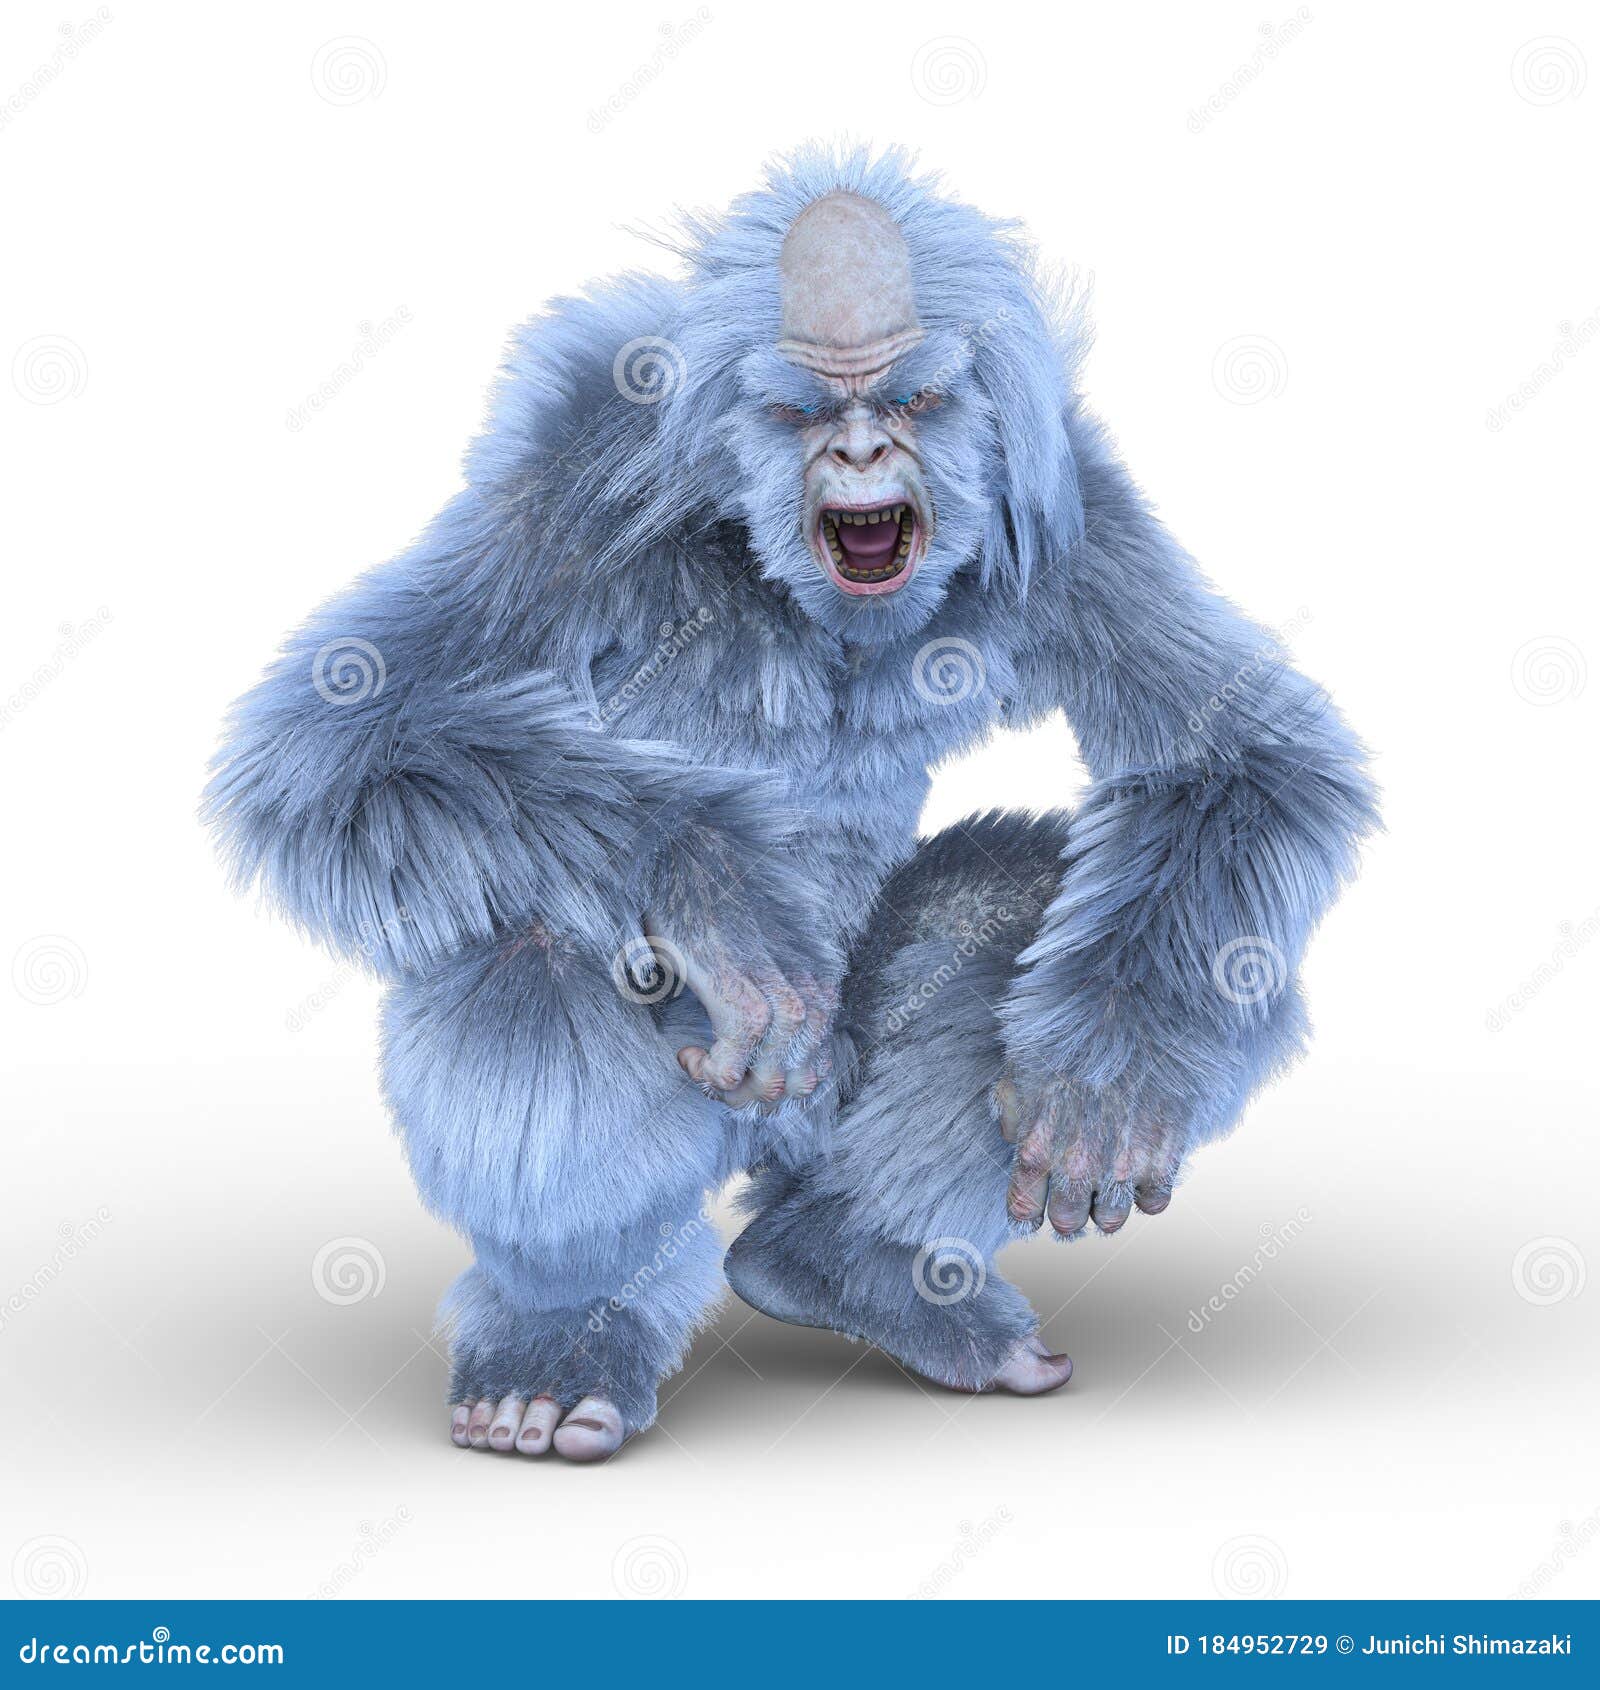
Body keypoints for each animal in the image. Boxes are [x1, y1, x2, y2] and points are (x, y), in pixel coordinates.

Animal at [206, 147, 1376, 1462]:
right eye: (807, 411)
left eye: (910, 399)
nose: (860, 454)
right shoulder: (572, 476)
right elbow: (351, 718)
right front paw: (712, 881)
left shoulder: (1074, 505)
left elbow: (1233, 758)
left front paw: (1108, 1075)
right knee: (525, 930)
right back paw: (556, 1340)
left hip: (831, 1096)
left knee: (1121, 923)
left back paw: (858, 1256)